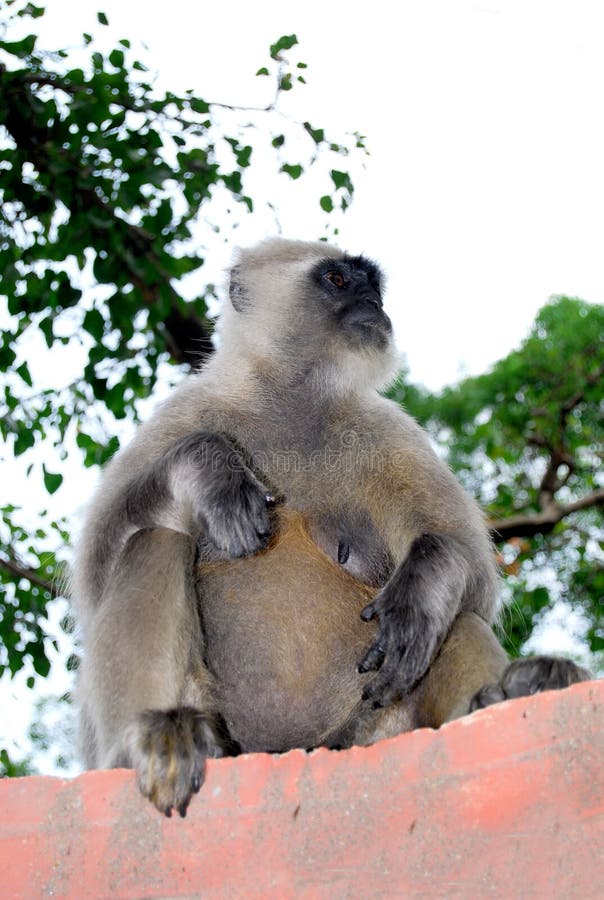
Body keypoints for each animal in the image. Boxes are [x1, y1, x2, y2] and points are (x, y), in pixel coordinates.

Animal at [72, 237, 591, 817]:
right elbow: (96, 573)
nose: (374, 303)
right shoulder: (185, 413)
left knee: (448, 616)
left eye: (373, 285)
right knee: (154, 538)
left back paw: (509, 694)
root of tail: (289, 750)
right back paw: (151, 741)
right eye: (339, 280)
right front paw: (207, 471)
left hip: (370, 727)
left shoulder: (384, 431)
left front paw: (426, 583)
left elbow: (473, 578)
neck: (291, 404)